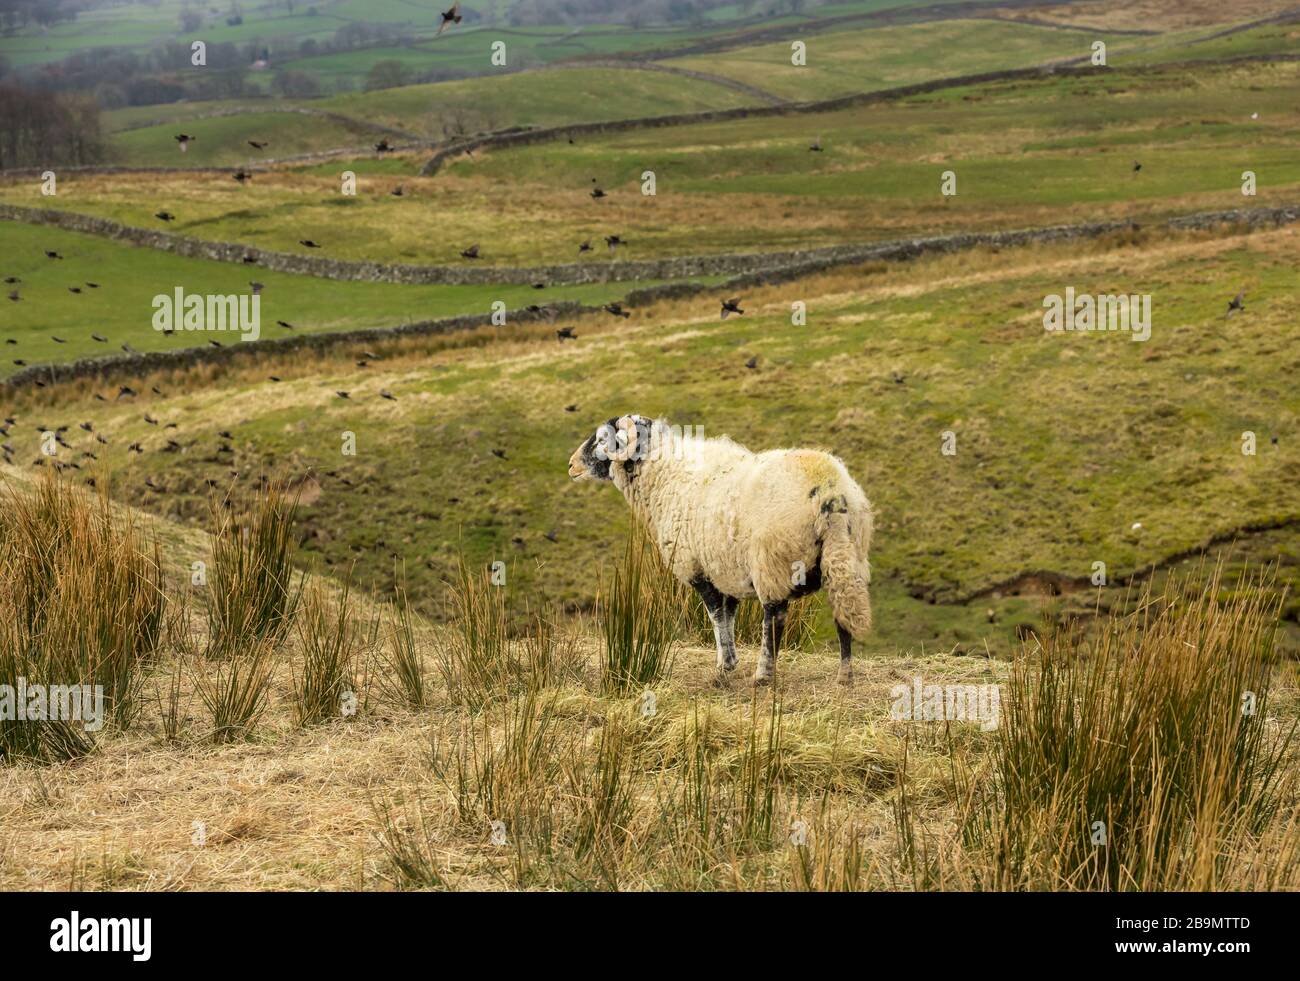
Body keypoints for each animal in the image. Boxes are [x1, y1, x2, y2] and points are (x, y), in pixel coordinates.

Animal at [568, 414, 873, 685]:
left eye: (602, 439)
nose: (571, 465)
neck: (664, 474)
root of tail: (830, 490)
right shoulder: (725, 569)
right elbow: (729, 616)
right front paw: (729, 663)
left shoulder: (698, 568)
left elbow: (716, 616)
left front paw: (724, 666)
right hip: (845, 558)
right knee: (843, 617)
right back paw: (844, 677)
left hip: (774, 561)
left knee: (774, 618)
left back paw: (763, 675)